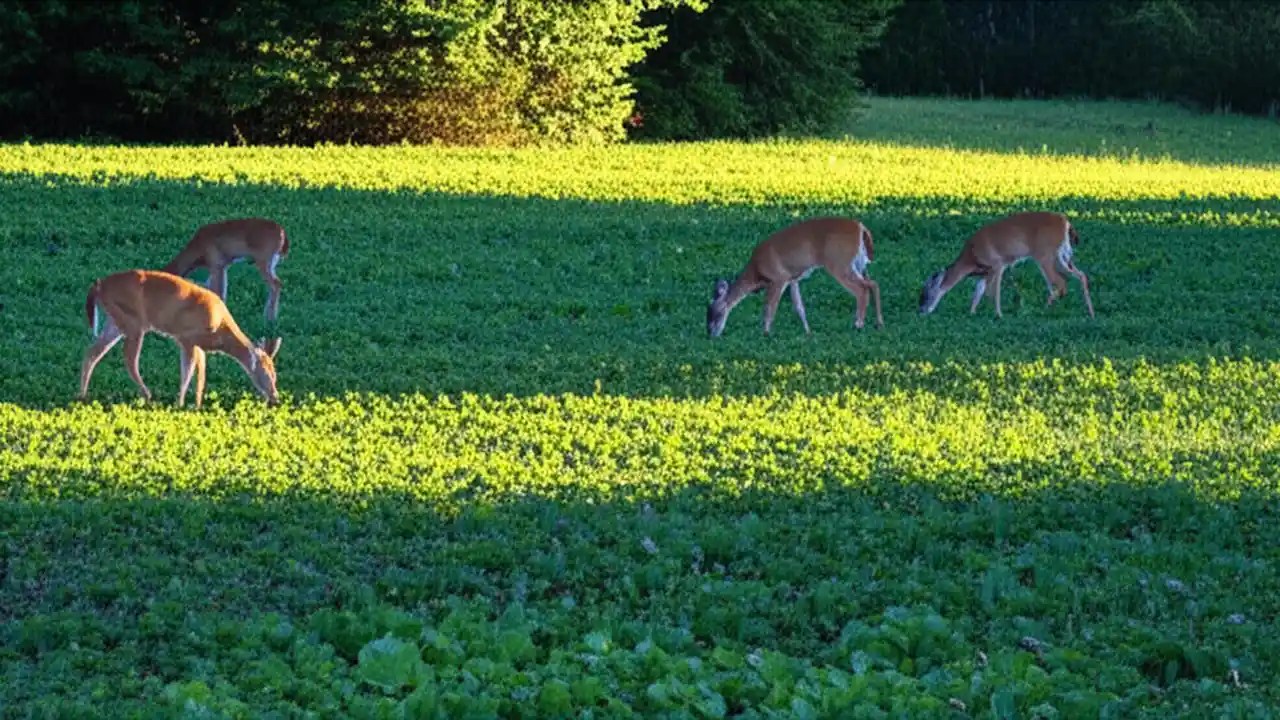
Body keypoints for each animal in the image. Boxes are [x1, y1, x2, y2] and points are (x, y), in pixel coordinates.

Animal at [79, 270, 282, 408]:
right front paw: (180, 404)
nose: (275, 396)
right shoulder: (186, 338)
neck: (221, 330)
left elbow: (201, 373)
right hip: (133, 322)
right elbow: (187, 372)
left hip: (114, 321)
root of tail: (99, 286)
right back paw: (147, 395)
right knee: (129, 358)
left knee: (92, 351)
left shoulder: (198, 346)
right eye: (269, 374)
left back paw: (82, 395)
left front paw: (197, 405)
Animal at [707, 216, 883, 337]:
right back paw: (879, 323)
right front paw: (808, 332)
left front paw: (766, 333)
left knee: (862, 289)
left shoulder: (778, 278)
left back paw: (858, 324)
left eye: (714, 311)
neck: (756, 273)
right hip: (859, 264)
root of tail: (861, 228)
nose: (711, 334)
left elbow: (769, 307)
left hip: (839, 262)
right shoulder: (792, 279)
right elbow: (799, 307)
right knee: (873, 284)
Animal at [918, 211, 1095, 319]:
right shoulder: (986, 272)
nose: (922, 311)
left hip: (1045, 254)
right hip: (1064, 254)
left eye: (926, 293)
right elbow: (979, 291)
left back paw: (1044, 310)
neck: (971, 259)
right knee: (1080, 276)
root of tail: (1066, 222)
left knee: (1060, 282)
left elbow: (993, 292)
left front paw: (998, 315)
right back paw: (1090, 313)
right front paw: (972, 312)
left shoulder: (998, 263)